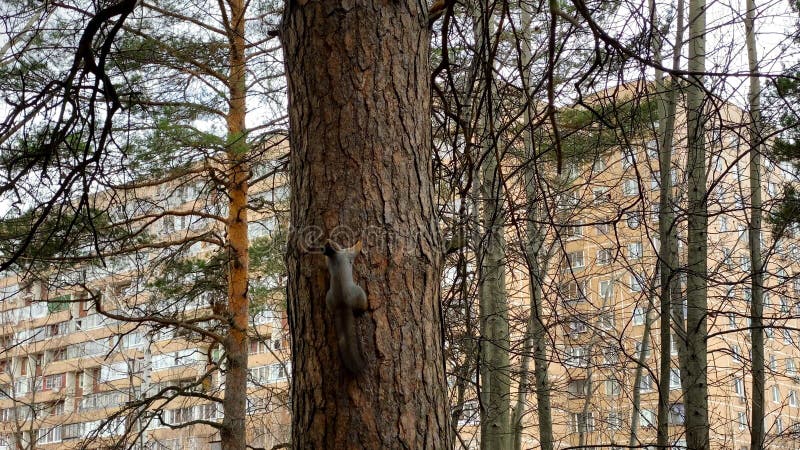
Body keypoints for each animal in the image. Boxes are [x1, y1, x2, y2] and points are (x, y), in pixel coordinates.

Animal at [323, 240, 368, 374]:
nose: (328, 240)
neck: (333, 256)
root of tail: (342, 304)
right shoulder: (346, 254)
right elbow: (355, 249)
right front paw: (360, 240)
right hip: (359, 293)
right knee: (361, 305)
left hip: (328, 299)